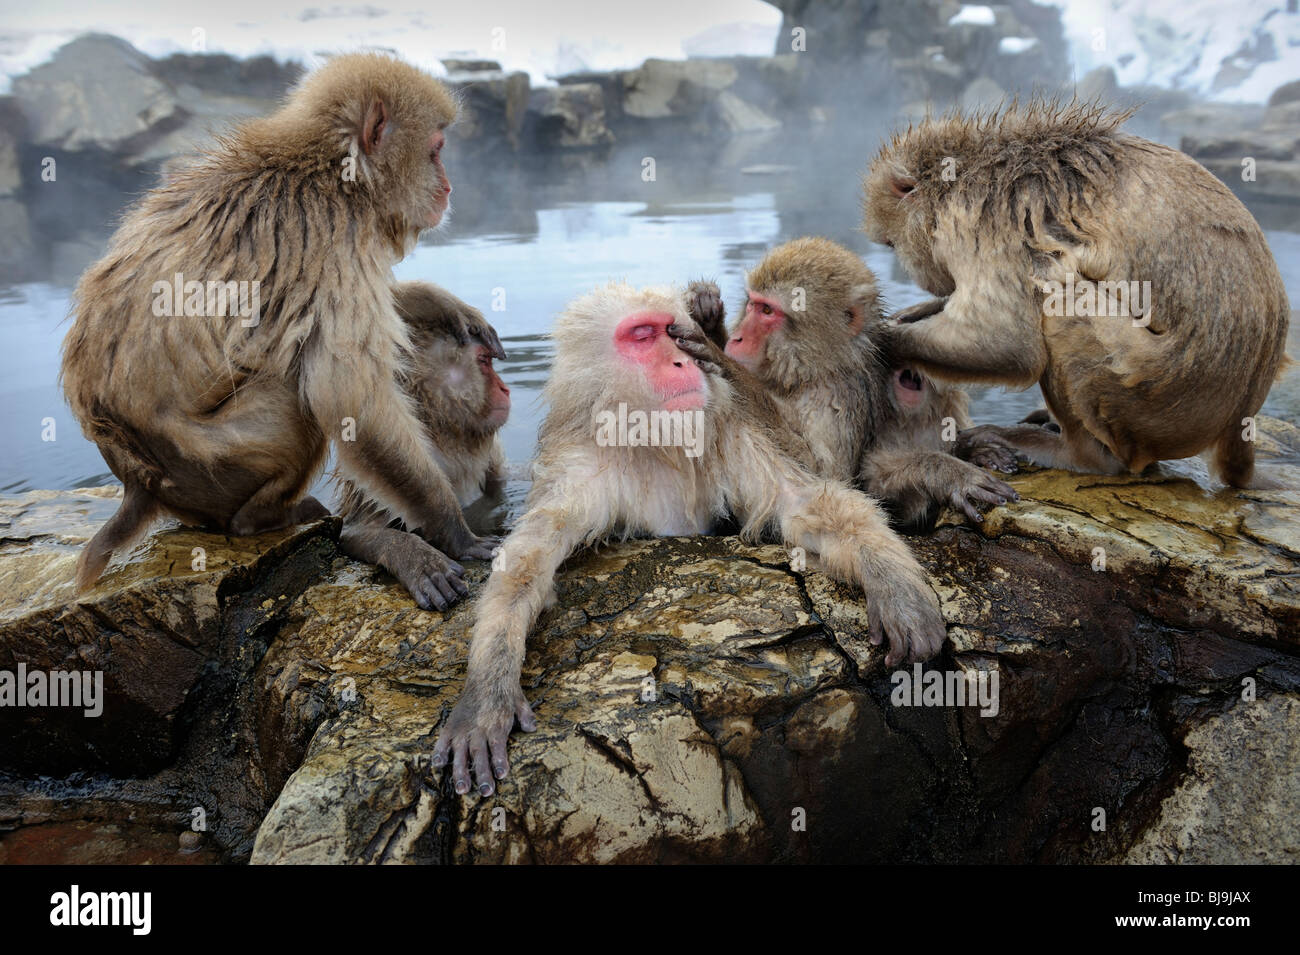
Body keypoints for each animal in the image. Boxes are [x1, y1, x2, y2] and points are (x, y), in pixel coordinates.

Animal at [432, 282, 949, 796]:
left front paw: (895, 586)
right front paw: (487, 691)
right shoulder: (582, 467)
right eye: (642, 336)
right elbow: (528, 558)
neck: (658, 443)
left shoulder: (729, 430)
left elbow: (805, 504)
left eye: (674, 333)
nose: (683, 363)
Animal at [675, 237, 1019, 531]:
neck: (814, 368)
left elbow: (824, 478)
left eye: (768, 311)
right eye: (752, 304)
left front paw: (724, 365)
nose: (737, 339)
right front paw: (705, 307)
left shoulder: (839, 392)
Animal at [861, 100, 1291, 489]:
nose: (922, 279)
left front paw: (884, 338)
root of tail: (1239, 418)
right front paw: (913, 313)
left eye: (892, 245)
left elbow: (1007, 343)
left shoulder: (976, 220)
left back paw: (1078, 455)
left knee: (1063, 303)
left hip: (1158, 401)